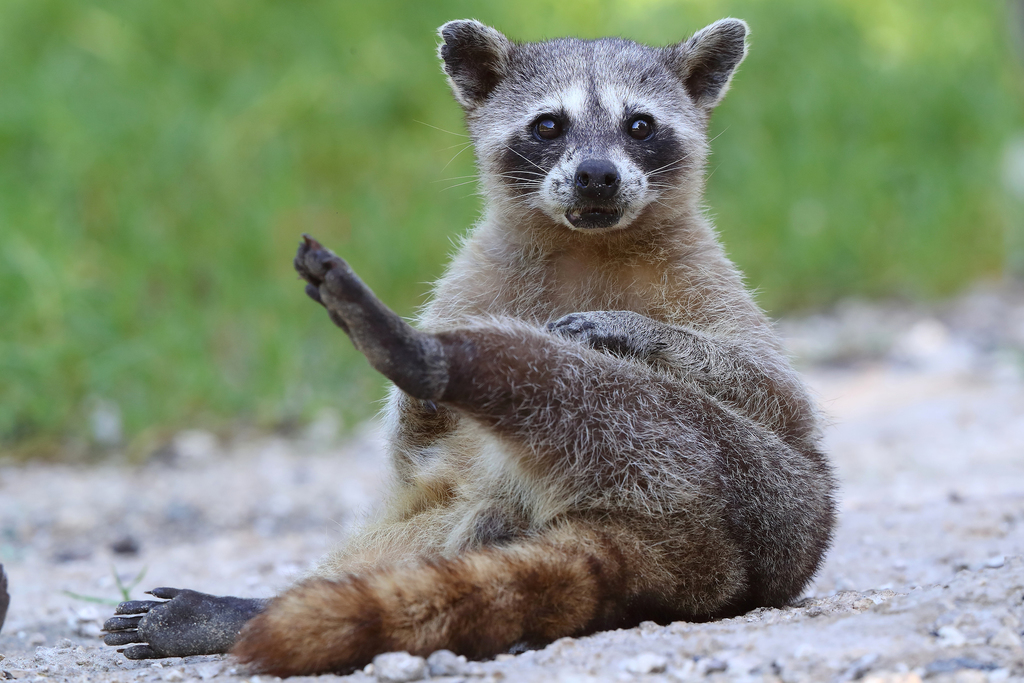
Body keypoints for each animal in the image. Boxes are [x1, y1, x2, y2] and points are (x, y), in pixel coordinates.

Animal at [103, 18, 836, 676]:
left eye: (640, 126)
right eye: (549, 126)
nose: (598, 176)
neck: (586, 237)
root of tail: (691, 561)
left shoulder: (705, 272)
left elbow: (777, 394)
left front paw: (629, 329)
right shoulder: (474, 275)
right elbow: (411, 451)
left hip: (745, 476)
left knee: (575, 390)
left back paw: (426, 357)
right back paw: (248, 610)